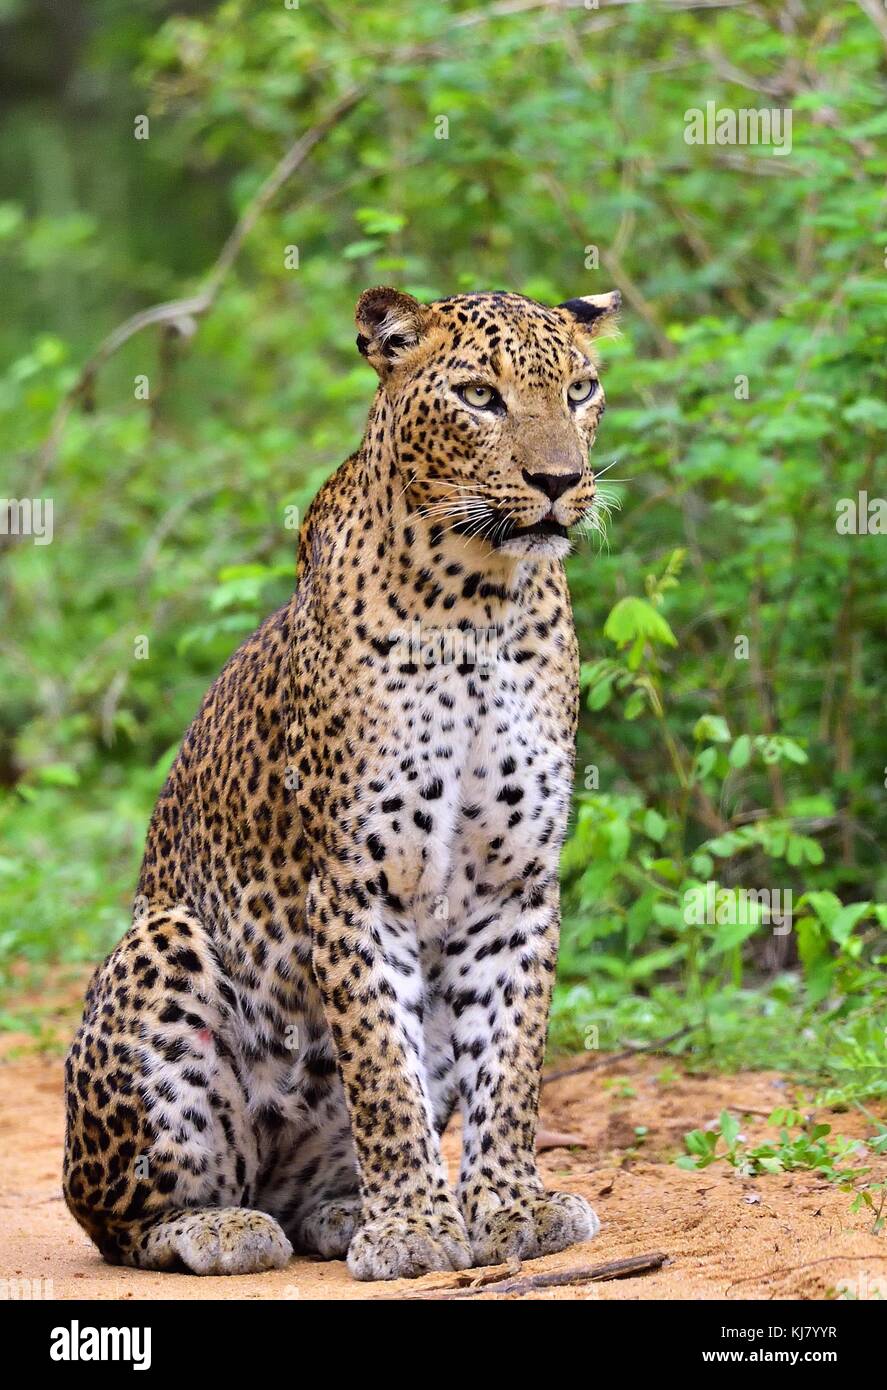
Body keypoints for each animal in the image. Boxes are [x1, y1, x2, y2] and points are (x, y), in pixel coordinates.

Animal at [63, 284, 621, 1280]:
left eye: (581, 389)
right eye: (479, 397)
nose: (559, 482)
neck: (479, 603)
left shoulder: (514, 886)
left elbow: (511, 1062)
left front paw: (510, 1206)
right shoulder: (357, 885)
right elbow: (382, 1076)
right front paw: (414, 1229)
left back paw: (339, 1211)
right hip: (164, 949)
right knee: (124, 1219)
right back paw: (228, 1227)